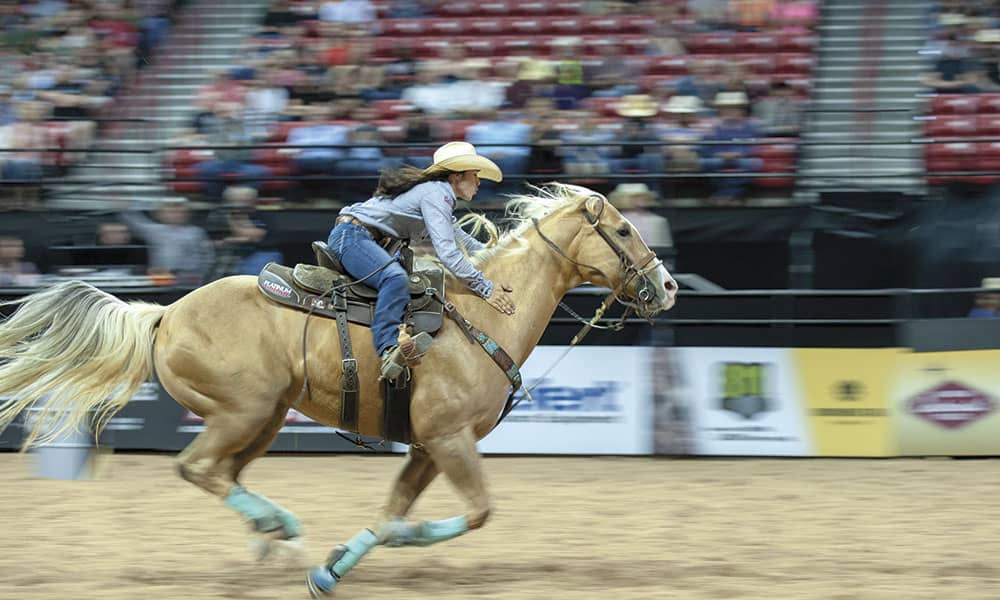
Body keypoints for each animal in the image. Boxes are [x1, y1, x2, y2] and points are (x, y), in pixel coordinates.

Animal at [0, 183, 676, 597]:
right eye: (622, 230)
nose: (667, 287)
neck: (483, 317)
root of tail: (165, 313)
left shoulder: (427, 447)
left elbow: (390, 513)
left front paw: (332, 570)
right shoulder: (449, 439)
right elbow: (474, 511)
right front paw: (392, 543)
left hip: (265, 418)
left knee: (225, 474)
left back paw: (279, 535)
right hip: (240, 413)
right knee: (198, 468)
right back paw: (278, 527)